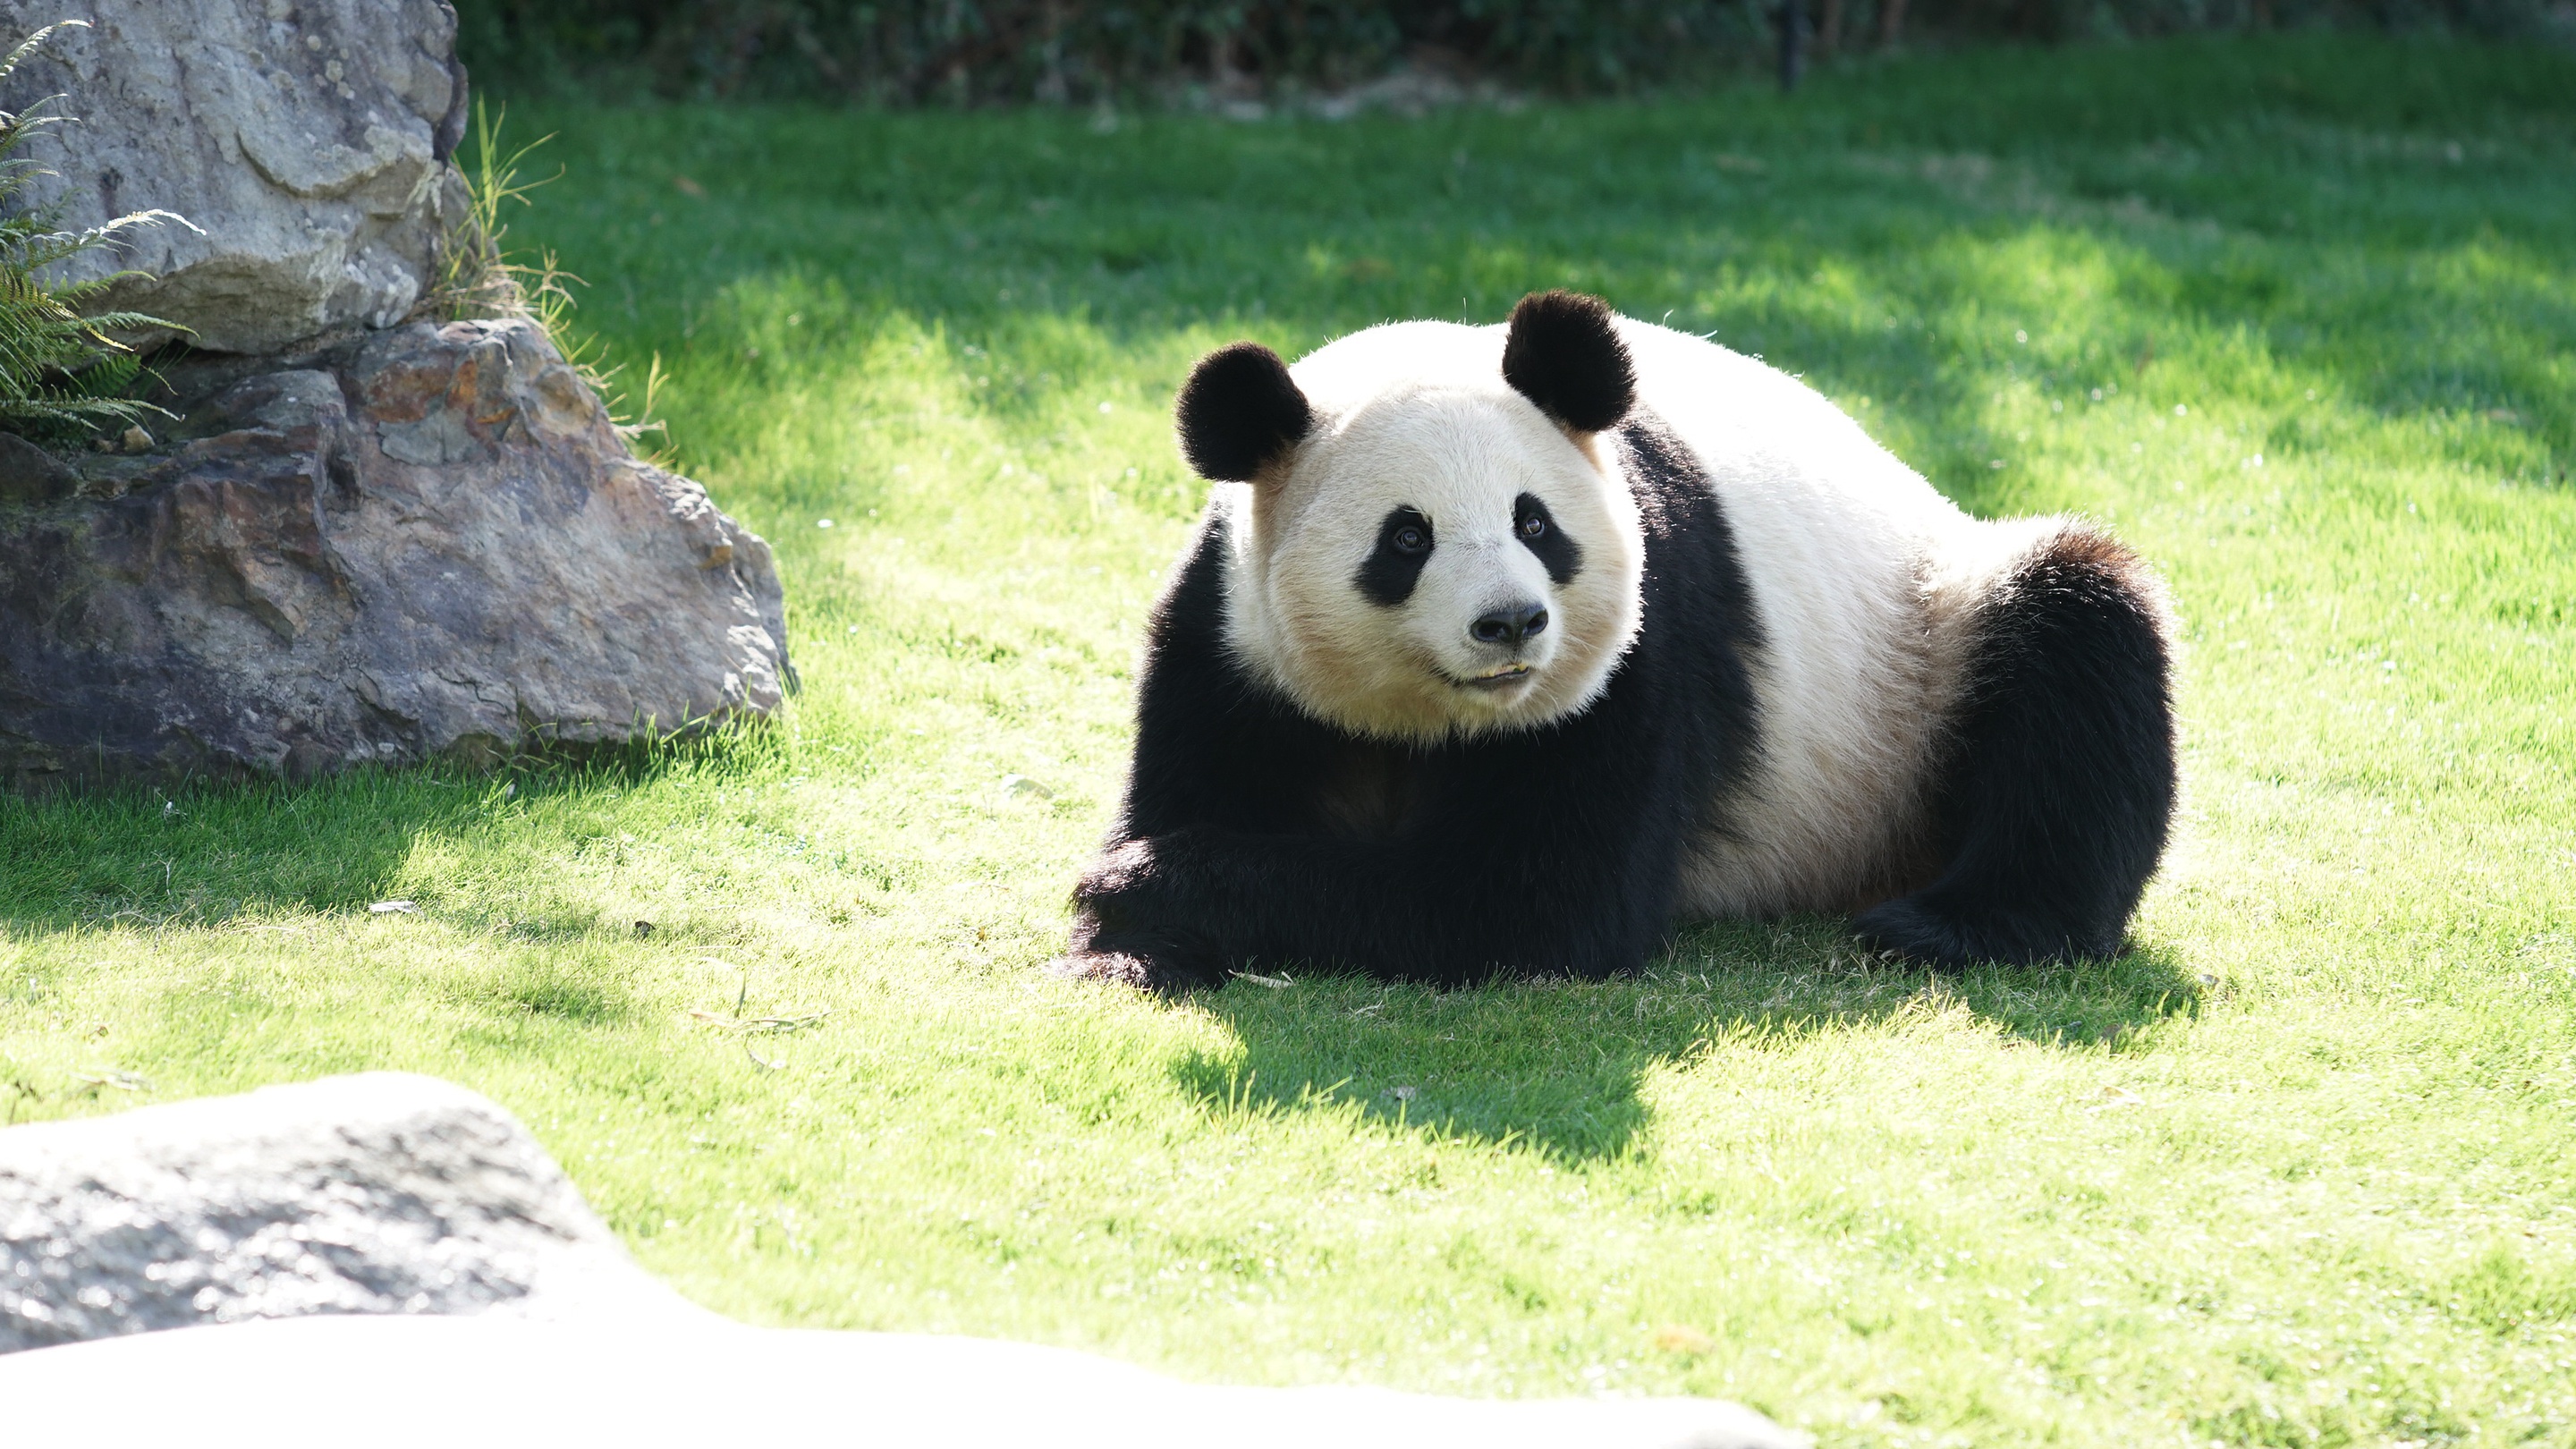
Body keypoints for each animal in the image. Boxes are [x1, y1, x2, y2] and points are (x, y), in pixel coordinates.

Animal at [1060, 290, 2175, 989]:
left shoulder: (1642, 641)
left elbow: (1531, 898)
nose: (1511, 623)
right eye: (1407, 538)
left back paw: (1952, 924)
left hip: (1926, 647)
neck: (1429, 716)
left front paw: (1143, 887)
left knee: (2078, 636)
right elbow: (1206, 772)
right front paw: (1128, 942)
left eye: (1536, 523)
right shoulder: (1231, 637)